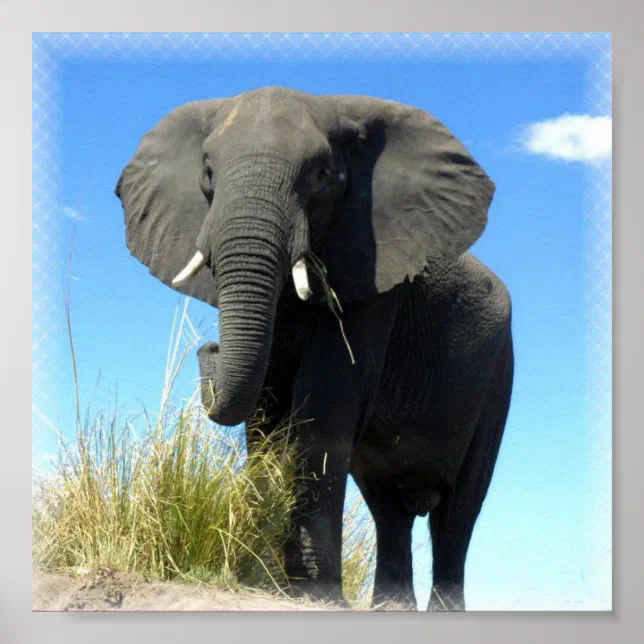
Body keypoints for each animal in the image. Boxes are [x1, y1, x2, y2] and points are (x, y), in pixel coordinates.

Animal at [115, 86, 514, 611]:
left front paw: (314, 594)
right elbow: (265, 411)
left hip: (498, 373)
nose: (210, 347)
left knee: (458, 509)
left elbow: (323, 404)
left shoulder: (373, 277)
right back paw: (390, 609)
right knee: (389, 508)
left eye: (322, 175)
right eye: (207, 172)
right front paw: (266, 584)